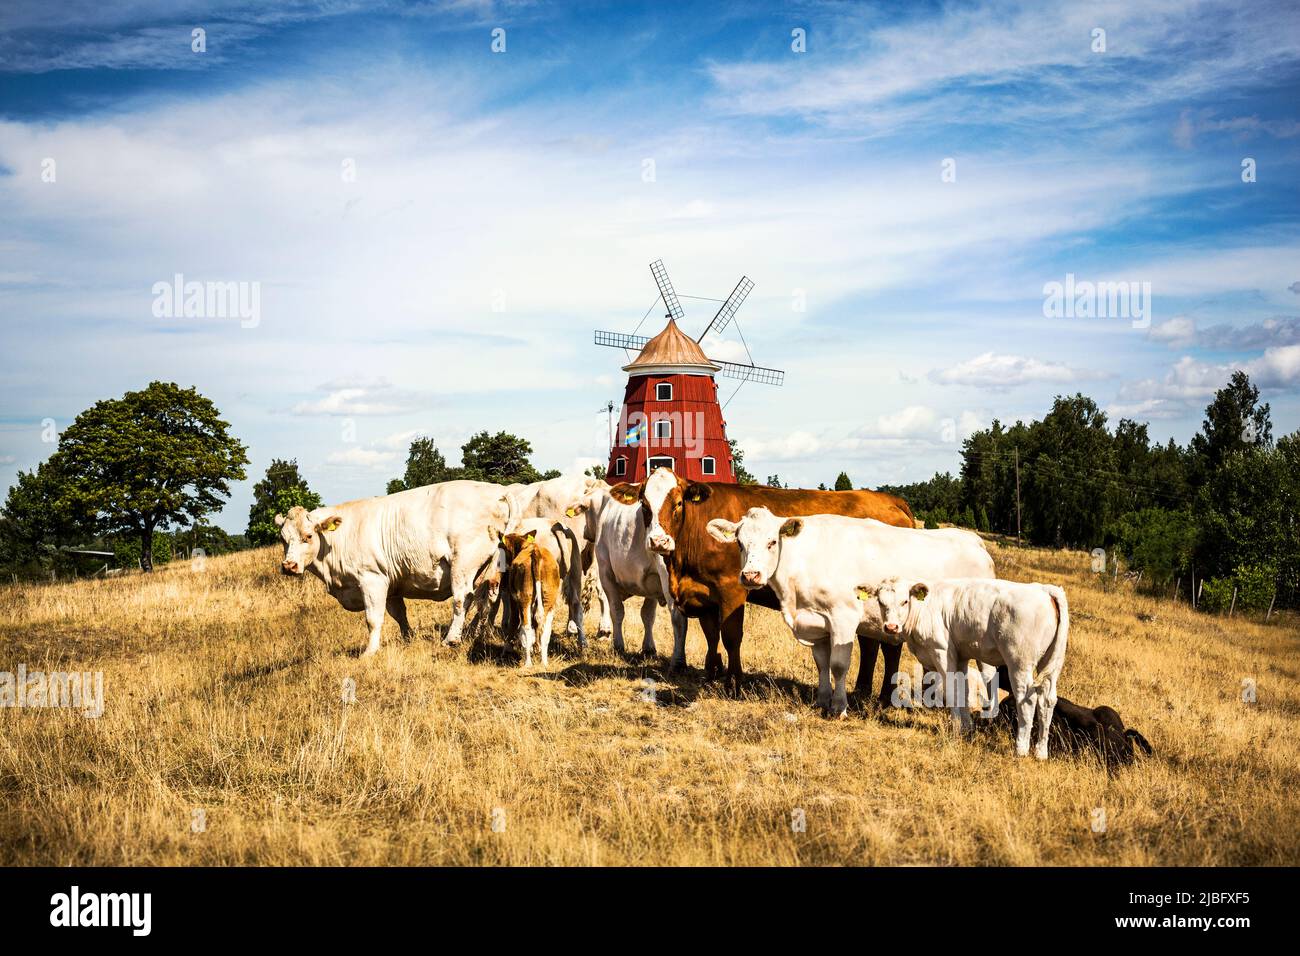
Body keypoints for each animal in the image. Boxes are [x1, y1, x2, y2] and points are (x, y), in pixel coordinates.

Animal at [274, 480, 515, 656]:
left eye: (308, 536)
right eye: (283, 539)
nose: (289, 565)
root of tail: (497, 491)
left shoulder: (372, 580)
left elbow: (373, 619)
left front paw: (369, 652)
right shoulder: (390, 585)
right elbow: (399, 614)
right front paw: (408, 639)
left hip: (463, 564)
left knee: (462, 598)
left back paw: (452, 638)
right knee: (493, 598)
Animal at [564, 483, 684, 657]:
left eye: (586, 511)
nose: (585, 531)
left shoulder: (606, 573)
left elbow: (616, 610)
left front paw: (618, 644)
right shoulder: (653, 580)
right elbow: (648, 615)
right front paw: (649, 647)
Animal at [608, 468, 918, 699]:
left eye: (679, 503)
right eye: (644, 505)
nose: (659, 541)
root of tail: (889, 499)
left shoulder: (732, 590)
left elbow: (731, 636)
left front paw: (734, 682)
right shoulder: (704, 594)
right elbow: (711, 635)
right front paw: (711, 674)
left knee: (890, 645)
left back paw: (884, 698)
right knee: (871, 643)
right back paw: (862, 691)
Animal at [706, 508, 994, 716]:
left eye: (772, 542)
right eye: (740, 543)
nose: (750, 575)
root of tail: (972, 540)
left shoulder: (842, 618)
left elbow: (838, 664)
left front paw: (839, 707)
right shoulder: (816, 623)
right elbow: (822, 663)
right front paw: (822, 700)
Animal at [861, 576, 1068, 757]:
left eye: (905, 601)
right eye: (880, 602)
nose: (890, 627)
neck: (924, 606)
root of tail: (1043, 589)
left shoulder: (942, 652)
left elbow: (952, 692)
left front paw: (955, 730)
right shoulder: (960, 657)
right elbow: (964, 691)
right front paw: (967, 728)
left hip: (1019, 663)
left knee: (1027, 699)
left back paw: (1021, 748)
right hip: (1051, 664)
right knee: (1047, 700)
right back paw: (1041, 751)